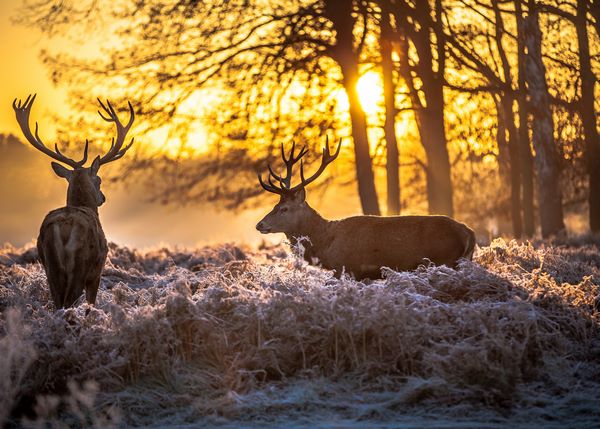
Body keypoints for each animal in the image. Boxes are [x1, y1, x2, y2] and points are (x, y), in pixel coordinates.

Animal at [13, 94, 136, 308]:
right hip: (81, 264)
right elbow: (91, 303)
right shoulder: (97, 271)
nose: (103, 197)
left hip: (50, 266)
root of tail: (62, 228)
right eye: (99, 179)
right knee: (68, 302)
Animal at [255, 139, 476, 280]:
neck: (326, 244)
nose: (260, 225)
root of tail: (469, 233)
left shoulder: (346, 268)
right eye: (275, 205)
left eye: (284, 208)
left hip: (444, 260)